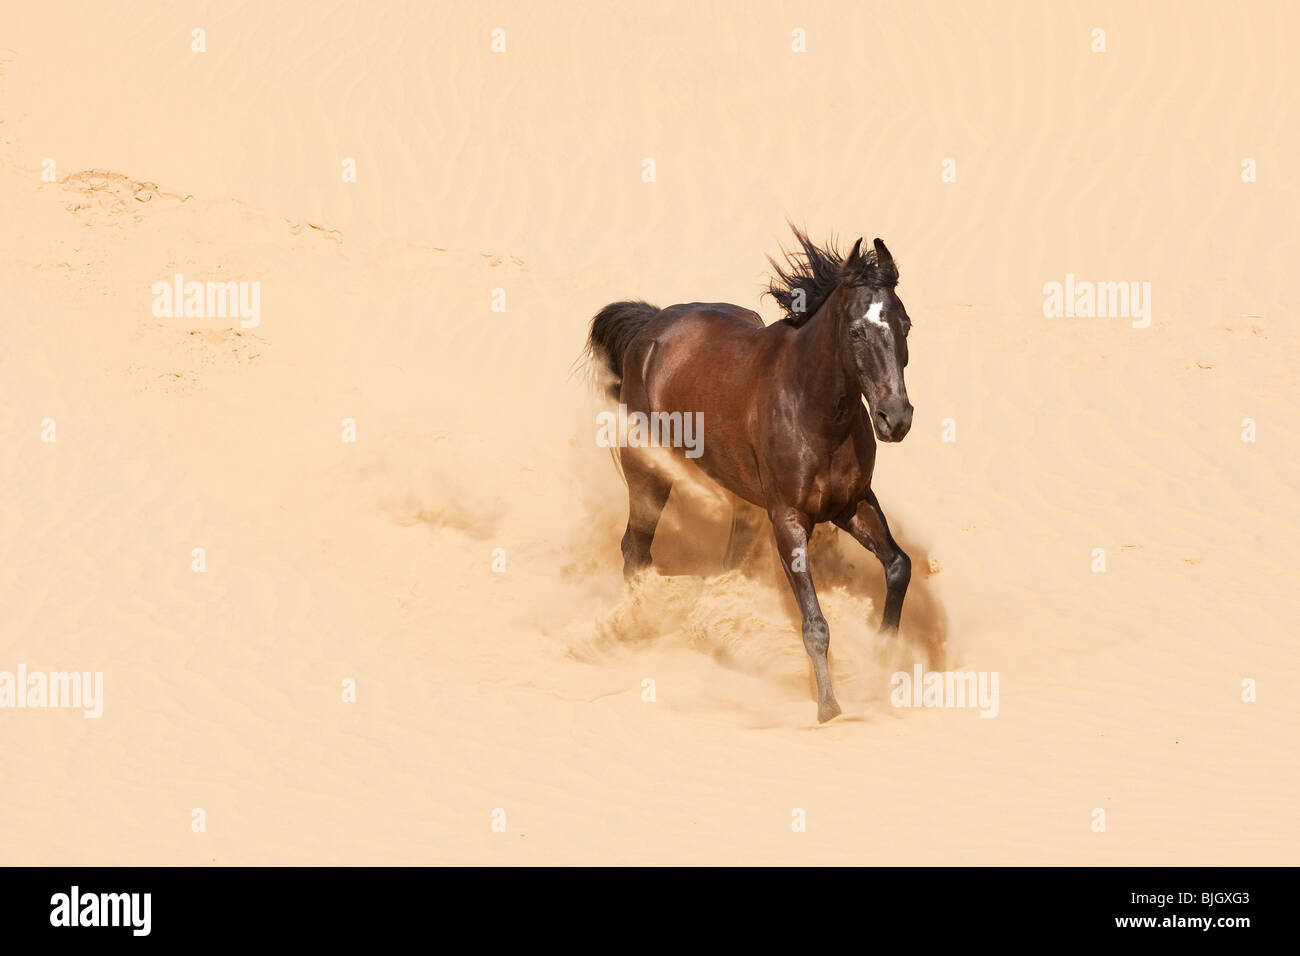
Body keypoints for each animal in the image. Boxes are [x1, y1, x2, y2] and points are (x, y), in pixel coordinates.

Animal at [586, 228, 914, 723]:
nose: (895, 419)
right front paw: (828, 706)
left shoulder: (853, 504)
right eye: (856, 330)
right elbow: (815, 623)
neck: (814, 410)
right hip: (649, 475)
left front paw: (884, 658)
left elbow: (898, 566)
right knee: (635, 551)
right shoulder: (789, 519)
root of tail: (652, 325)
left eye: (905, 325)